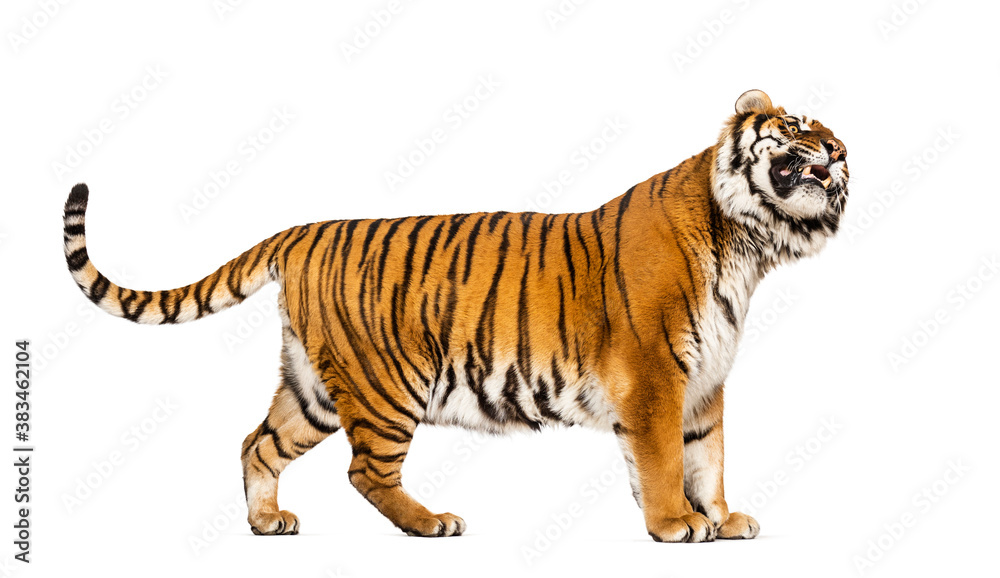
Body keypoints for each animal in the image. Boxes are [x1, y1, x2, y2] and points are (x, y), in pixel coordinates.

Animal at [63, 89, 848, 542]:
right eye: (795, 126)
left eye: (832, 135)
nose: (839, 150)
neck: (750, 242)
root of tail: (302, 232)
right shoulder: (654, 377)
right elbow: (661, 462)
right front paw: (675, 526)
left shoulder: (704, 384)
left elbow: (706, 458)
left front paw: (722, 519)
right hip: (387, 384)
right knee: (365, 473)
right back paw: (431, 523)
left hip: (313, 388)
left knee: (258, 442)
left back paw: (266, 522)